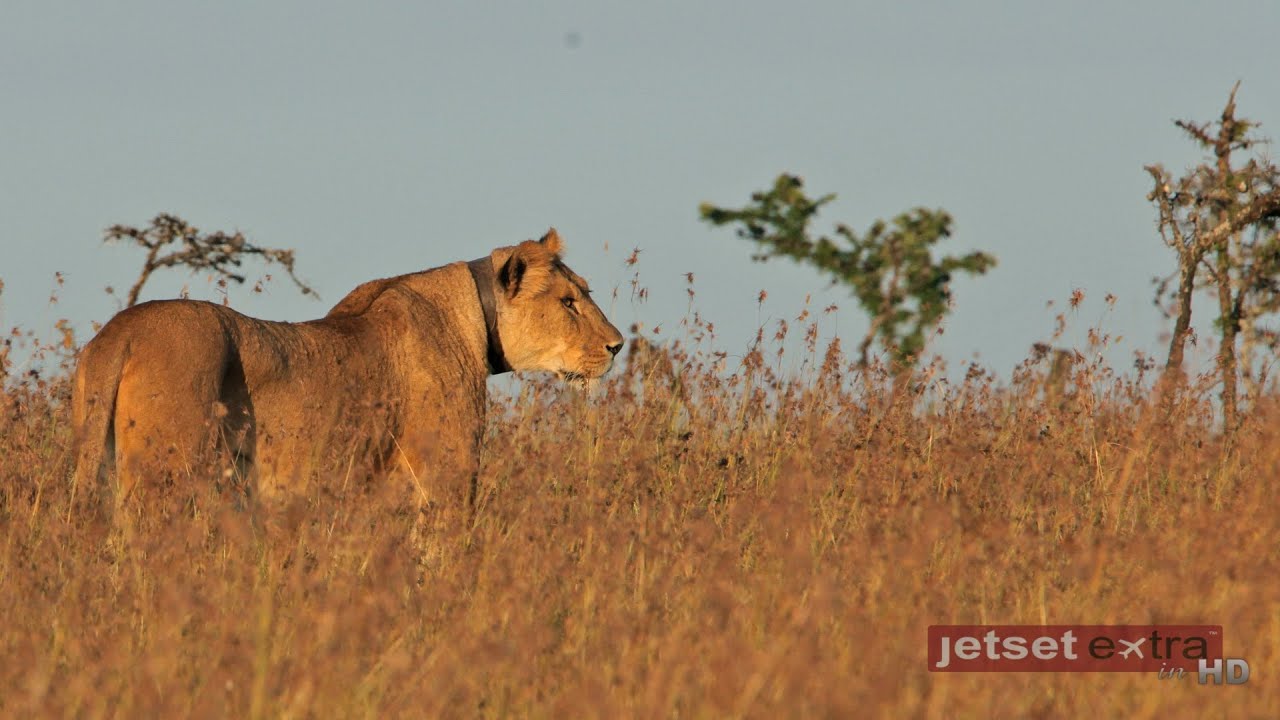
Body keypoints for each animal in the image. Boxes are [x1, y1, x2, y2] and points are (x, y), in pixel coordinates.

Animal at [71, 228, 624, 508]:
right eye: (569, 302)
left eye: (585, 293)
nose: (618, 346)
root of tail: (121, 330)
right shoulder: (447, 471)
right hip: (166, 474)